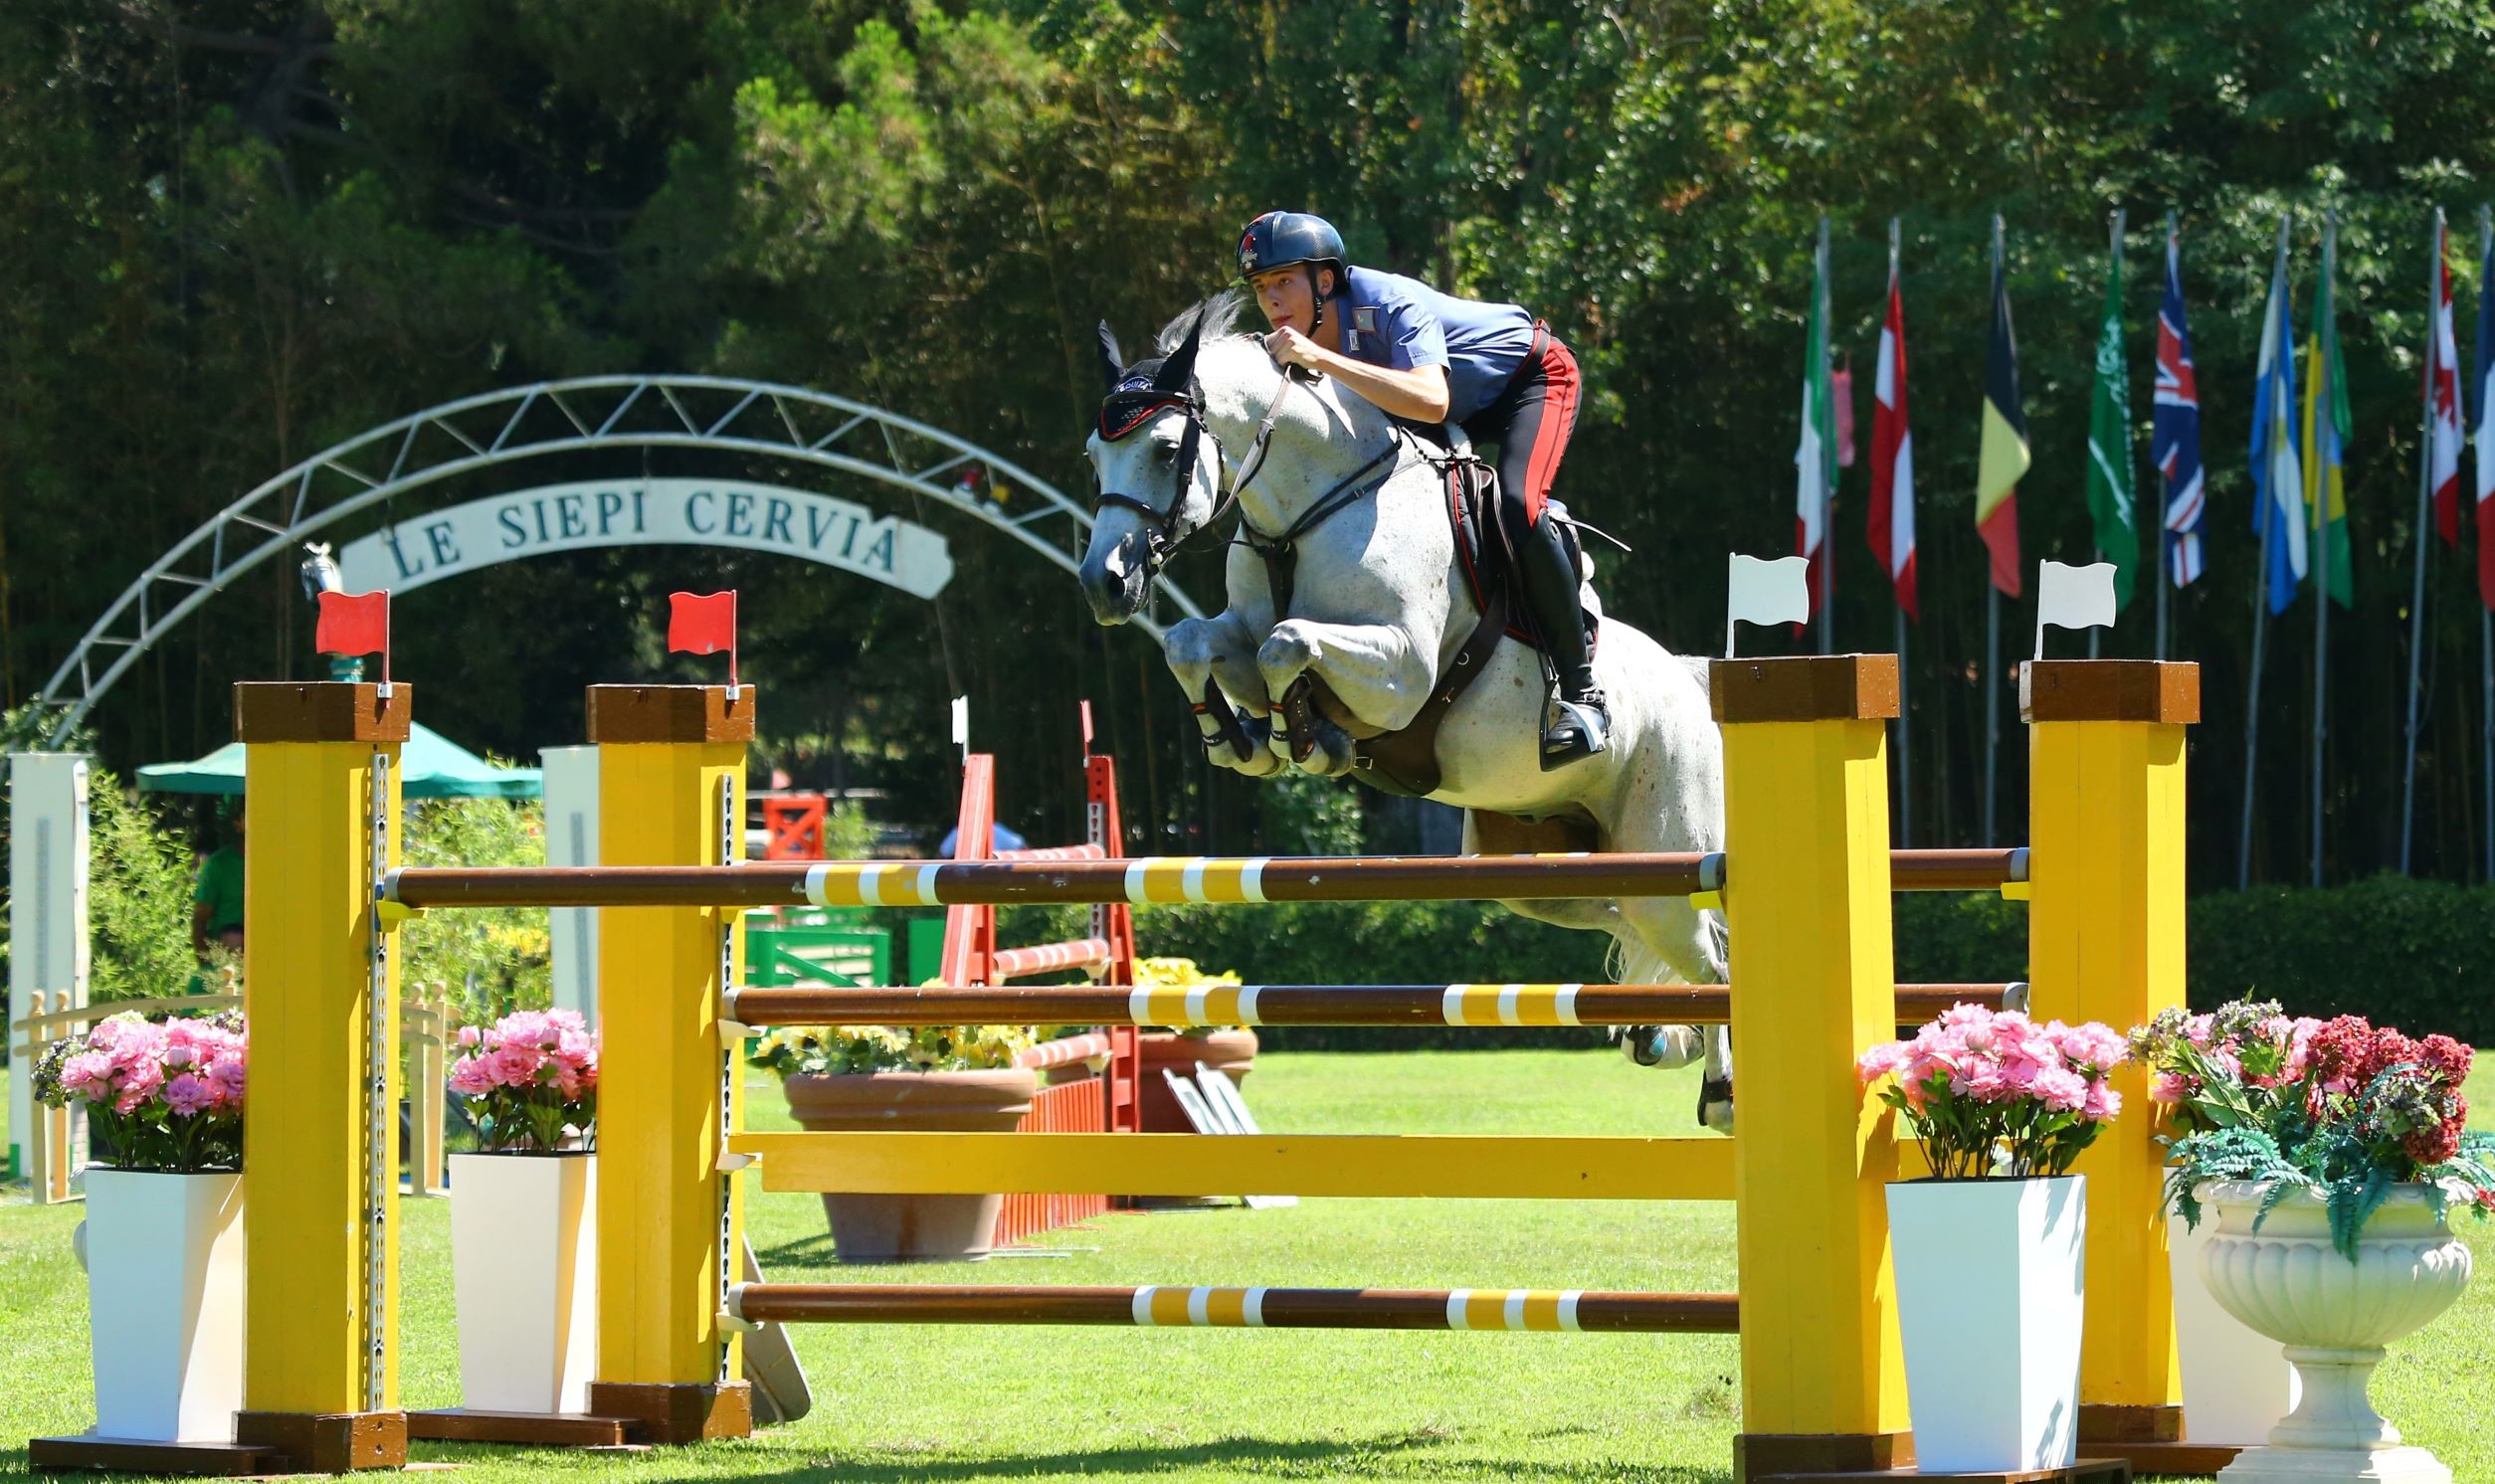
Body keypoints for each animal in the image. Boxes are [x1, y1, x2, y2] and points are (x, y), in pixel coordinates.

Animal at [1076, 294, 1733, 1128]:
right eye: (1093, 459)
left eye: (1166, 450)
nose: (1104, 583)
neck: (1304, 515)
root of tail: (1693, 687)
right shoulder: (1237, 631)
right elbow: (1193, 641)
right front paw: (1241, 738)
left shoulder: (1401, 670)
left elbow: (1287, 644)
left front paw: (1303, 735)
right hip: (1542, 874)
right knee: (1638, 924)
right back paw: (1654, 1032)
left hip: (1665, 849)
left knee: (1712, 954)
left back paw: (1722, 1093)